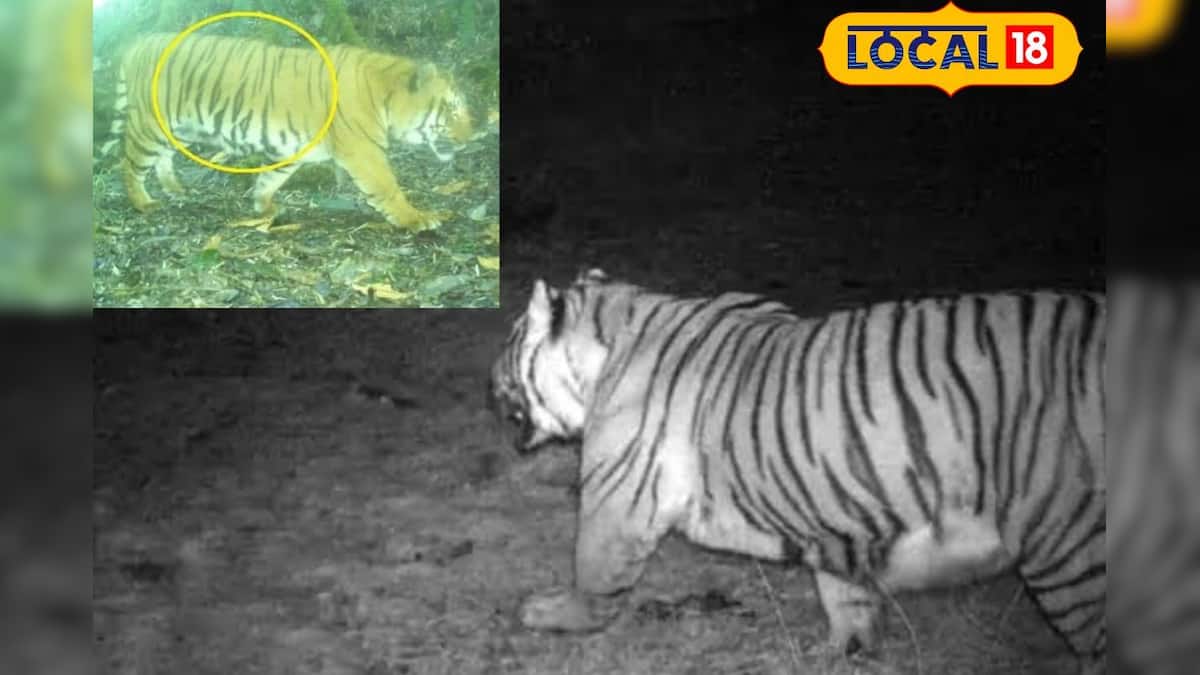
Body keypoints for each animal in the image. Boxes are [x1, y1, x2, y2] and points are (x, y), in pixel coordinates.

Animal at [103, 32, 475, 231]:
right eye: (453, 108)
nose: (473, 135)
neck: (385, 95)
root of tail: (139, 40)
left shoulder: (291, 149)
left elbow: (271, 178)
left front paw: (263, 207)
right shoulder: (364, 152)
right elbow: (388, 187)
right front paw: (417, 219)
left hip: (176, 129)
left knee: (163, 159)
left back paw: (174, 188)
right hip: (149, 127)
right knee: (128, 163)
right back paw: (144, 203)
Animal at [489, 268, 1106, 674]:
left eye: (513, 338)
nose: (489, 382)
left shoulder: (617, 500)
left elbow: (592, 572)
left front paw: (551, 613)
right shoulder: (837, 509)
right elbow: (845, 594)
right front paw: (845, 651)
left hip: (1067, 546)